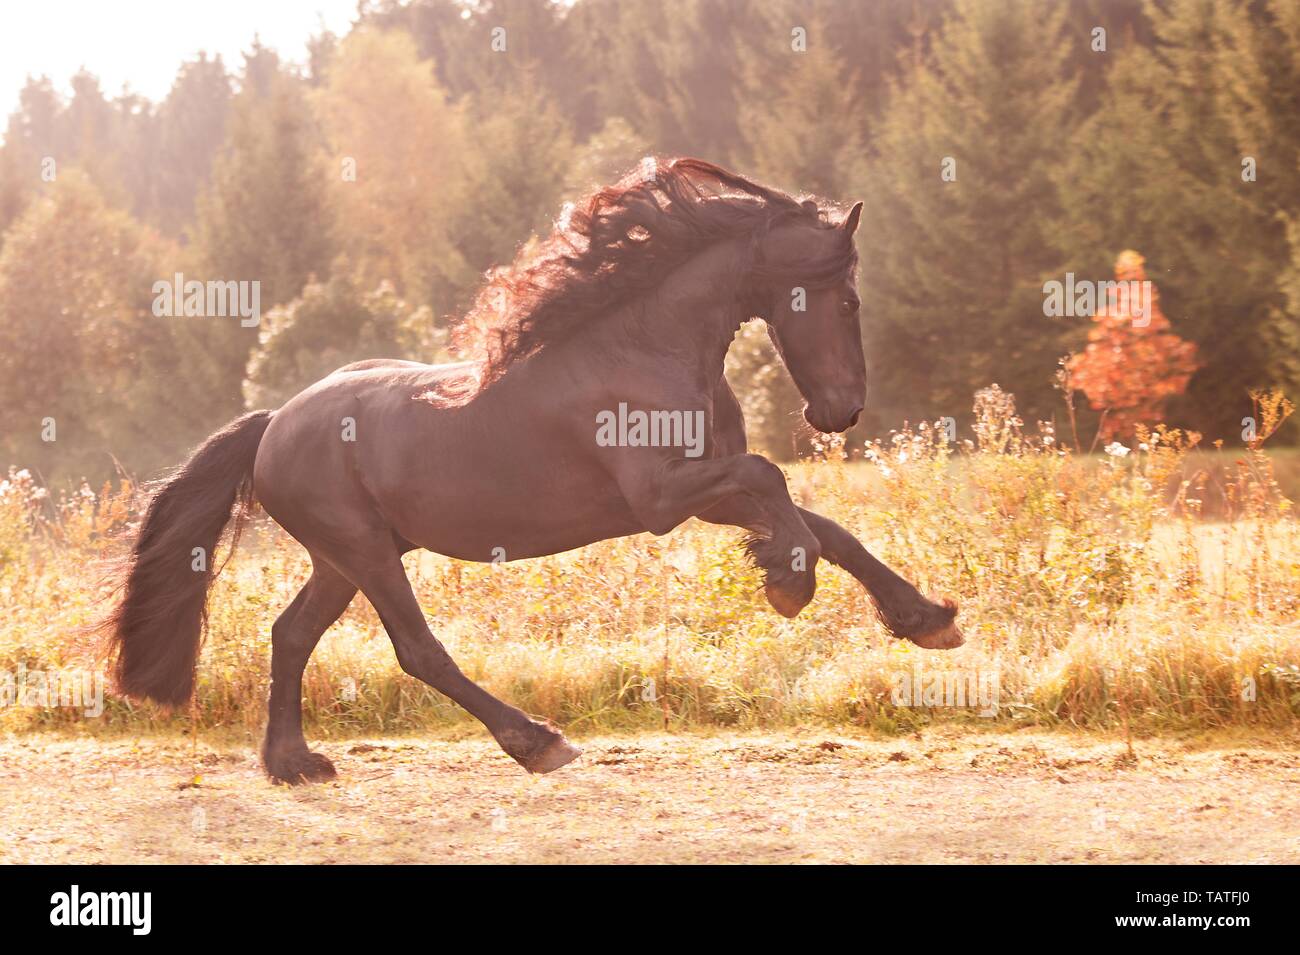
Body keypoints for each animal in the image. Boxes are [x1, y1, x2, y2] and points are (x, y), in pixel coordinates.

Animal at [102, 158, 963, 784]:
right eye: (846, 299)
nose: (840, 412)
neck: (646, 345)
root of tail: (274, 423)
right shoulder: (662, 497)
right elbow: (773, 481)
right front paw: (789, 581)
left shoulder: (702, 489)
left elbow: (826, 523)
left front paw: (925, 618)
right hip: (365, 553)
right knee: (416, 649)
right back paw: (535, 741)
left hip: (341, 558)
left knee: (289, 634)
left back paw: (293, 764)